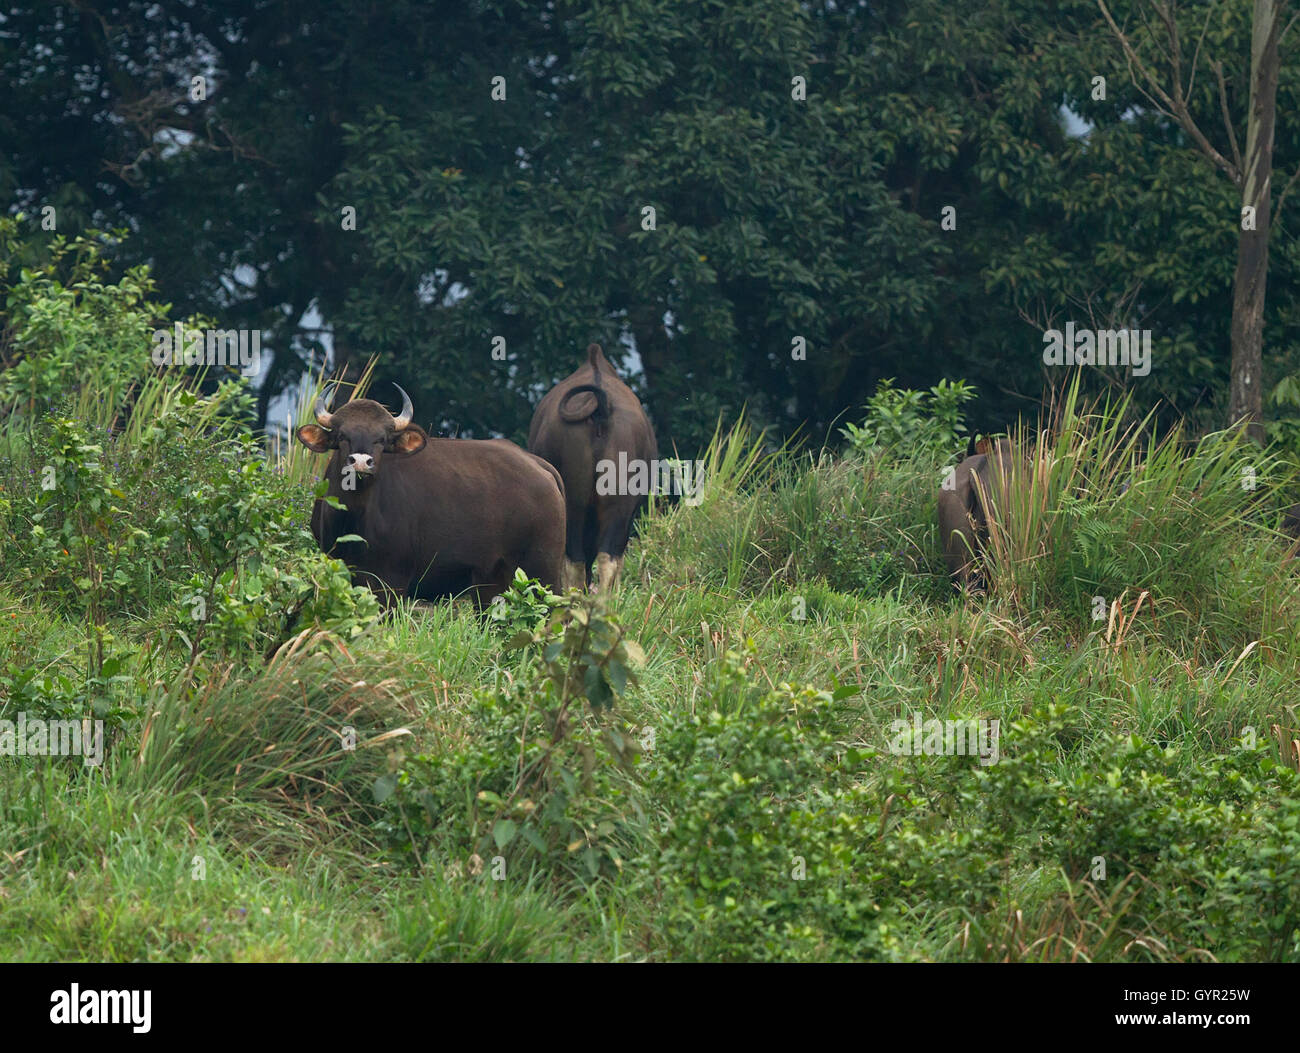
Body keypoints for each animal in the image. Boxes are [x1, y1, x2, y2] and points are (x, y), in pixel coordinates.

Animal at [297, 384, 566, 605]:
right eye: (342, 435)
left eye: (381, 439)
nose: (361, 462)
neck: (352, 520)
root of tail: (538, 464)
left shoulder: (391, 580)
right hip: (491, 581)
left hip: (543, 572)